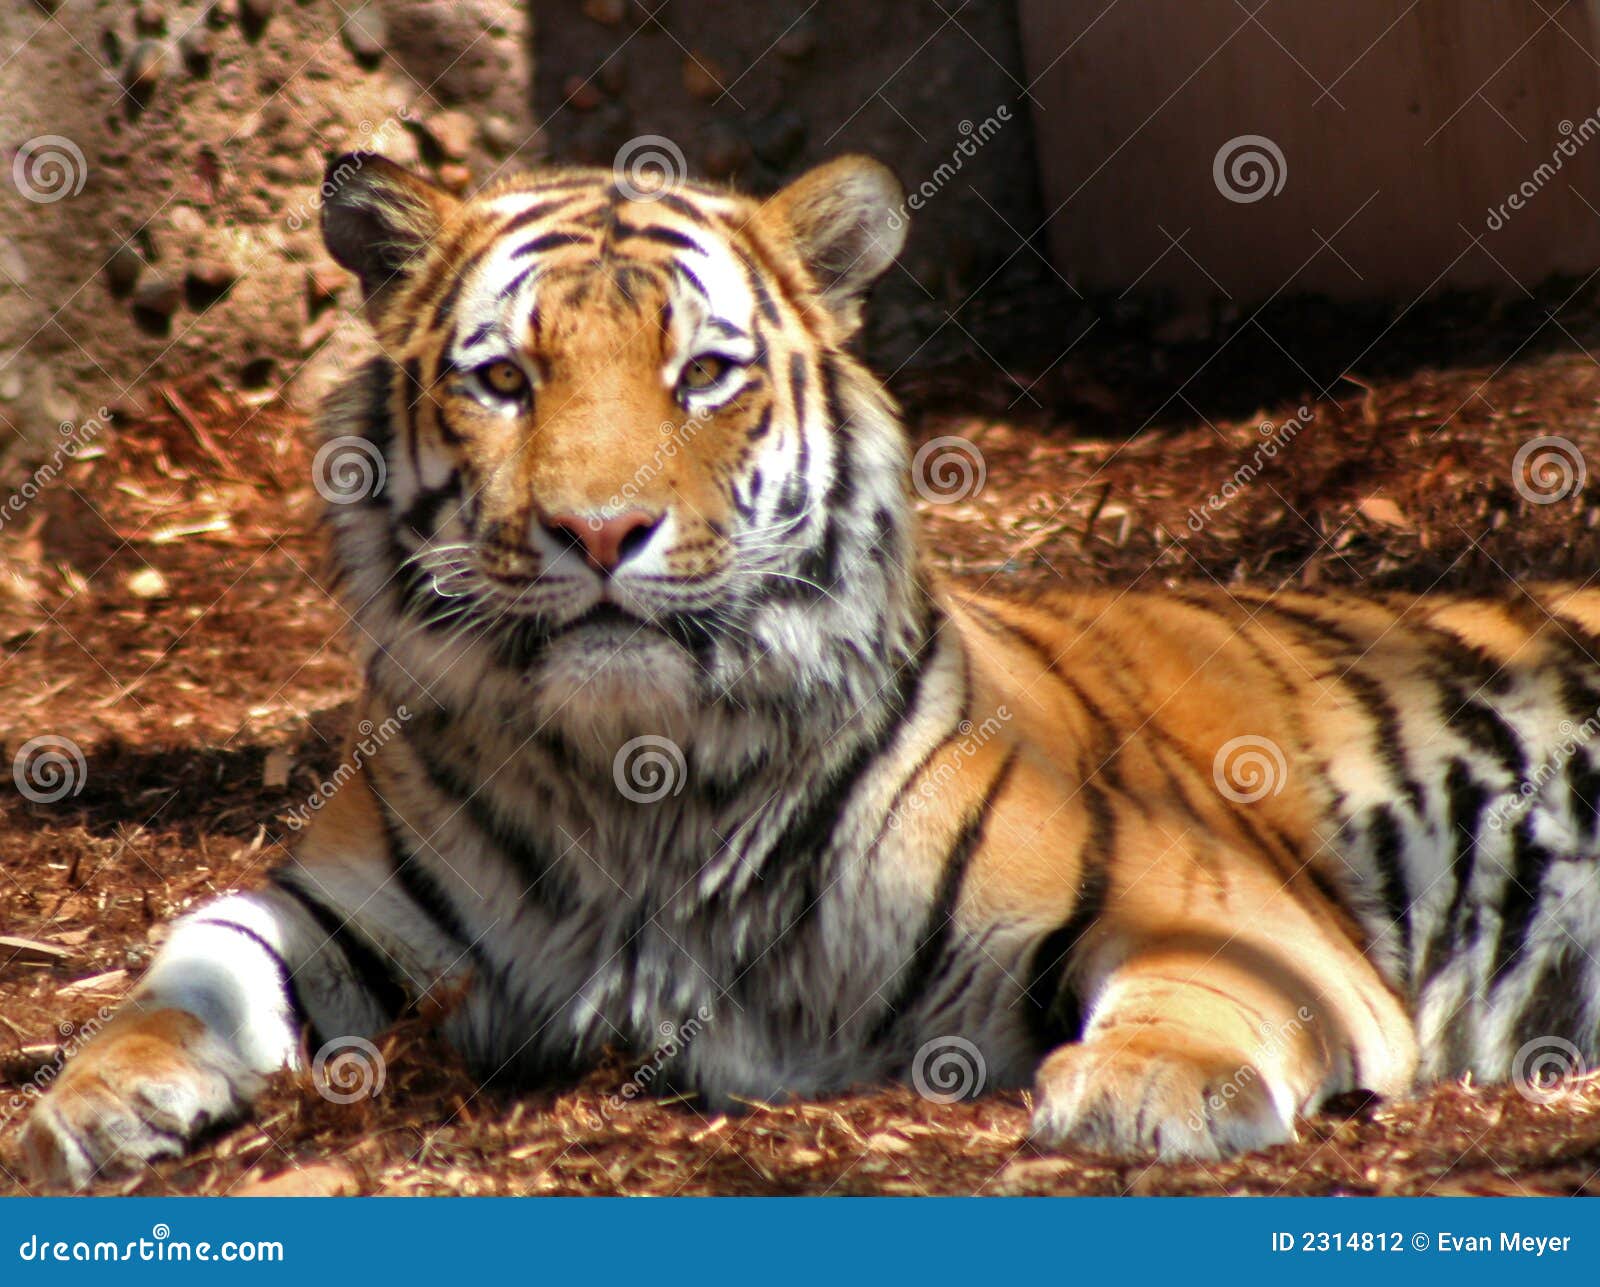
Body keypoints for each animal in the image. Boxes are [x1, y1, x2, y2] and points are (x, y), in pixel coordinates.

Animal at [21, 148, 1600, 1189]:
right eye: (504, 379)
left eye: (704, 373)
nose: (599, 530)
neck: (635, 770)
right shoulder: (332, 906)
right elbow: (187, 969)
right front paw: (90, 1101)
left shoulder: (1219, 908)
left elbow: (1198, 987)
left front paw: (1146, 1094)